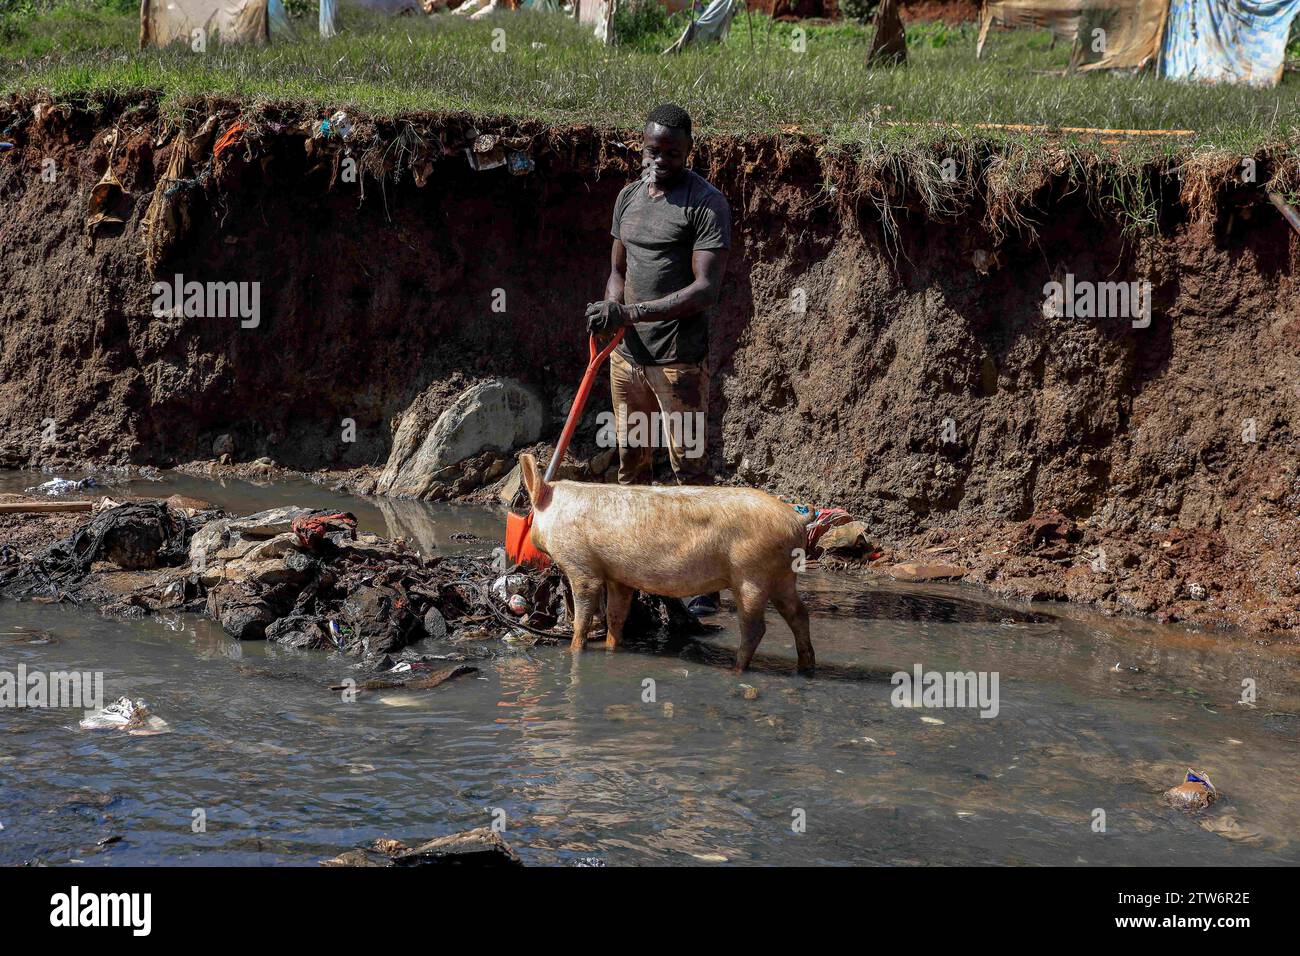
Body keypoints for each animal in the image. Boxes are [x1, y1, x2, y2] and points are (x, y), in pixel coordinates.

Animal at [517, 453, 814, 673]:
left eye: (530, 515)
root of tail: (795, 519)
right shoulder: (617, 575)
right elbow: (616, 616)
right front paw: (612, 648)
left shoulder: (581, 565)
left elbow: (583, 618)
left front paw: (574, 651)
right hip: (783, 575)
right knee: (799, 614)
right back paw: (805, 667)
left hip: (751, 575)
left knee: (755, 628)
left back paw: (735, 670)